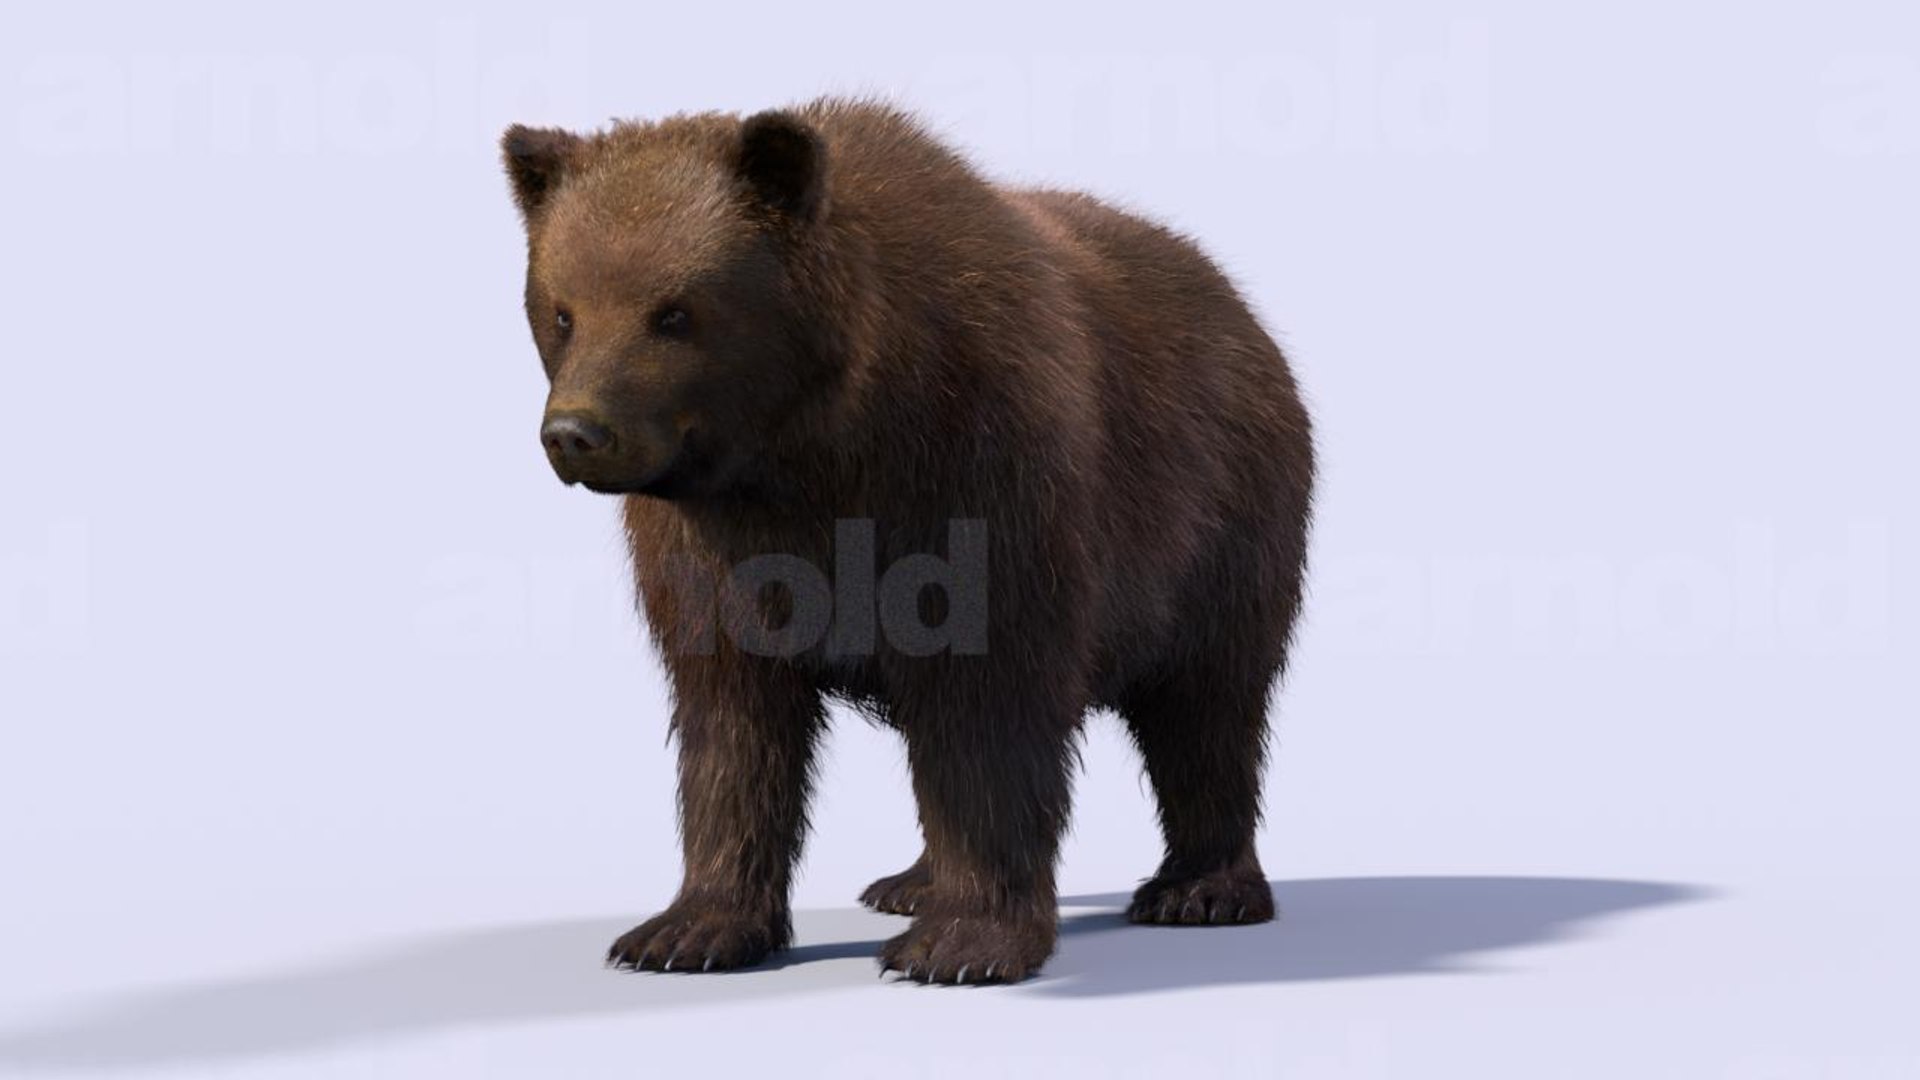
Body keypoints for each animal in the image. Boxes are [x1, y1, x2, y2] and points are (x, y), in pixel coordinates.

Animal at [500, 98, 1315, 984]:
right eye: (562, 311)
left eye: (675, 312)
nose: (576, 434)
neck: (816, 451)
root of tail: (1235, 298)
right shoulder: (712, 550)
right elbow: (732, 724)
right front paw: (684, 931)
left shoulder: (981, 477)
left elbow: (991, 709)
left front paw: (963, 943)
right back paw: (909, 882)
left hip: (1219, 524)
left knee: (1207, 707)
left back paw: (1201, 890)